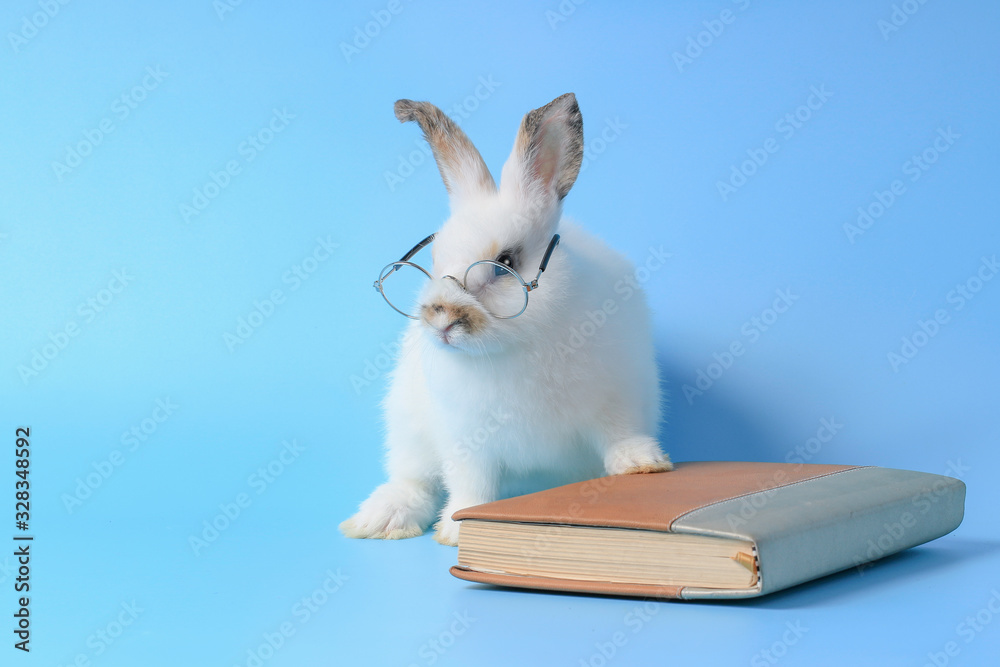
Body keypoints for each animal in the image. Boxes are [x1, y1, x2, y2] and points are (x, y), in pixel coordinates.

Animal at [340, 93, 672, 546]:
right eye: (434, 262)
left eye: (506, 263)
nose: (441, 322)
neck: (518, 347)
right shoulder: (465, 440)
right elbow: (471, 485)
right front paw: (457, 530)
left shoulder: (620, 397)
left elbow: (621, 433)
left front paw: (642, 464)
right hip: (408, 433)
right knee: (414, 481)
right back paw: (385, 518)